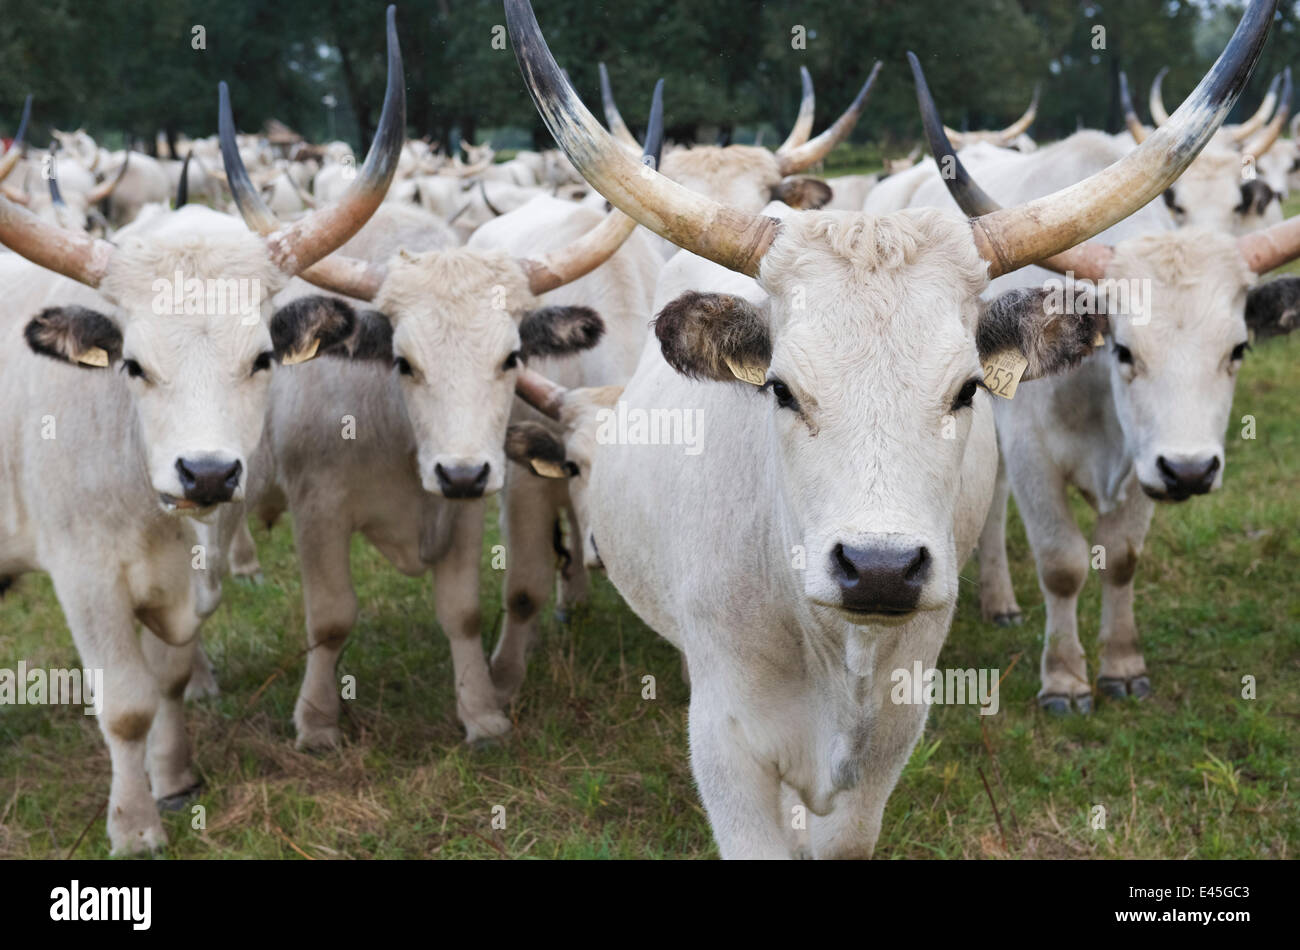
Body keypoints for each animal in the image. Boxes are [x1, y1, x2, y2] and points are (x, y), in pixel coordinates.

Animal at [0, 6, 406, 853]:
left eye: (262, 359)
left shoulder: (192, 570)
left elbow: (171, 680)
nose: (210, 472)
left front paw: (176, 775)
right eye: (132, 365)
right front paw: (134, 826)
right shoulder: (86, 579)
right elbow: (125, 704)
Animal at [909, 49, 1300, 713]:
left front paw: (1122, 665)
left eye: (1238, 349)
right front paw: (1065, 678)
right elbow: (1062, 562)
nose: (1192, 471)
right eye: (1124, 350)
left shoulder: (1145, 457)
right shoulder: (1033, 453)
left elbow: (1122, 558)